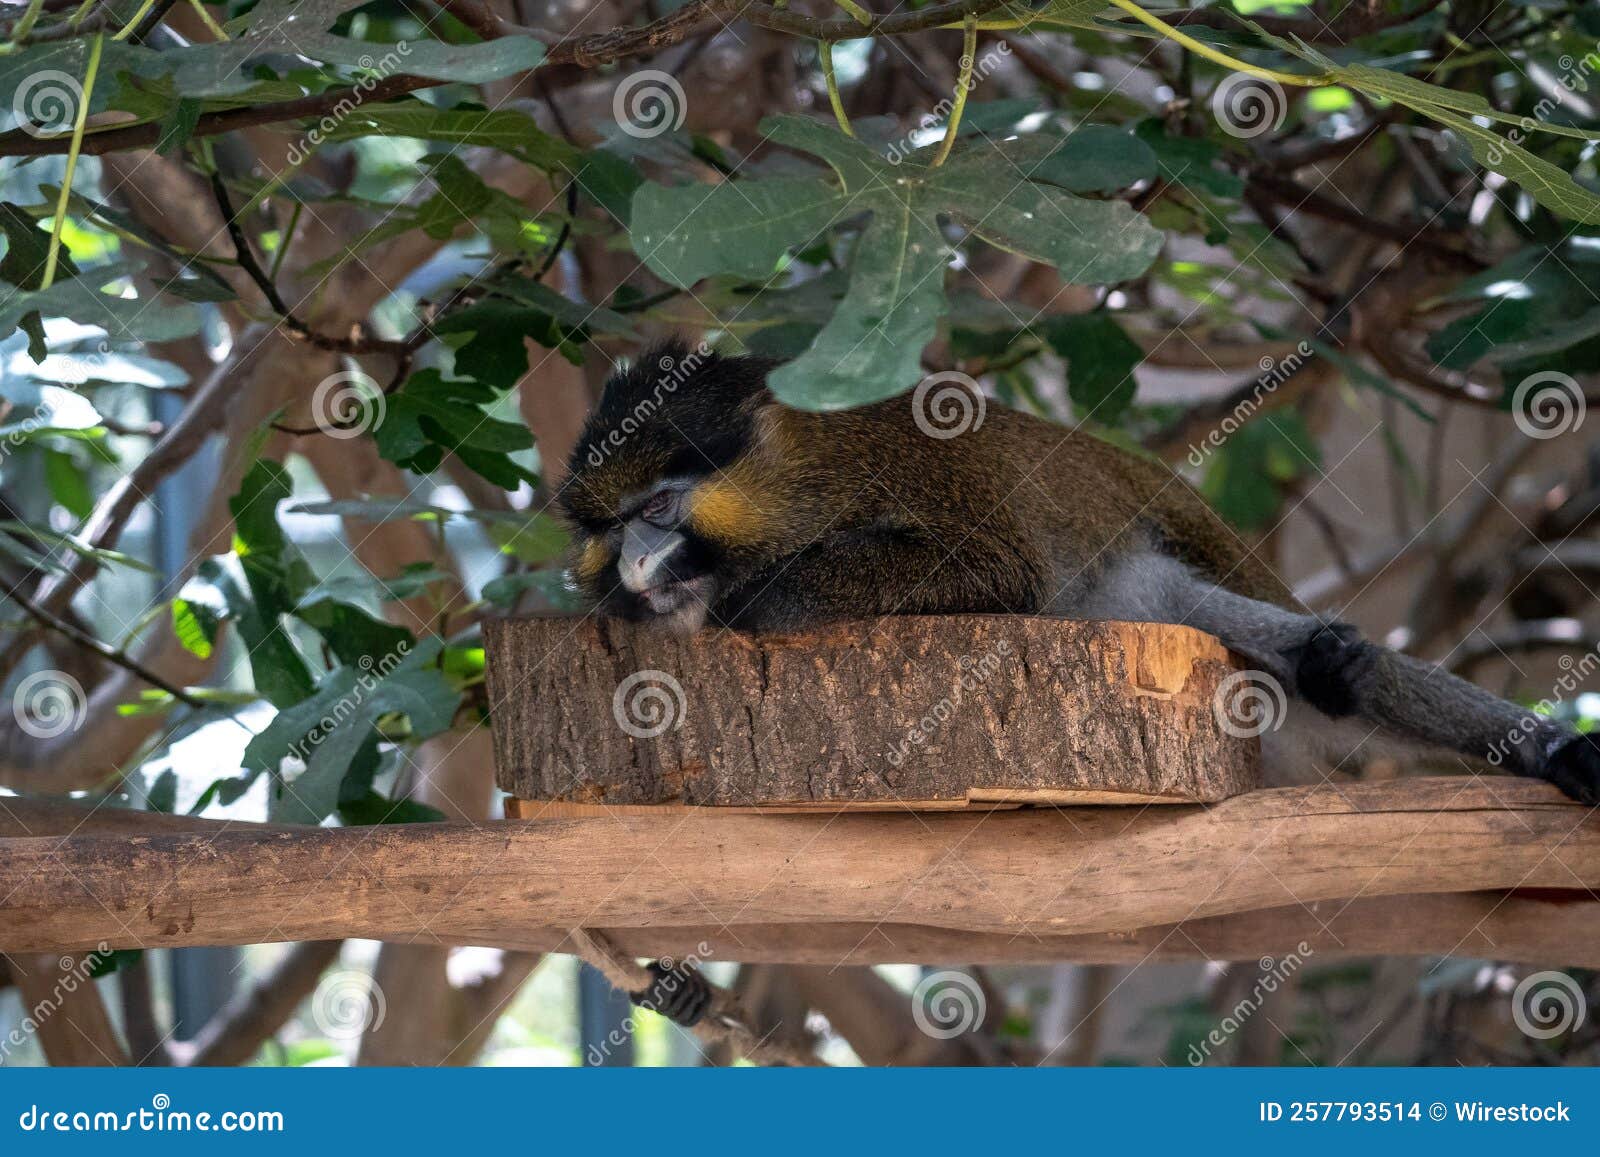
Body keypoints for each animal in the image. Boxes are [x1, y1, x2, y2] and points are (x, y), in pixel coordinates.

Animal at [557, 339, 1600, 803]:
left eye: (657, 511)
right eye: (607, 529)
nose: (638, 565)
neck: (790, 478)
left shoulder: (911, 473)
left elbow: (995, 568)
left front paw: (750, 599)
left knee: (1330, 662)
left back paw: (1552, 752)